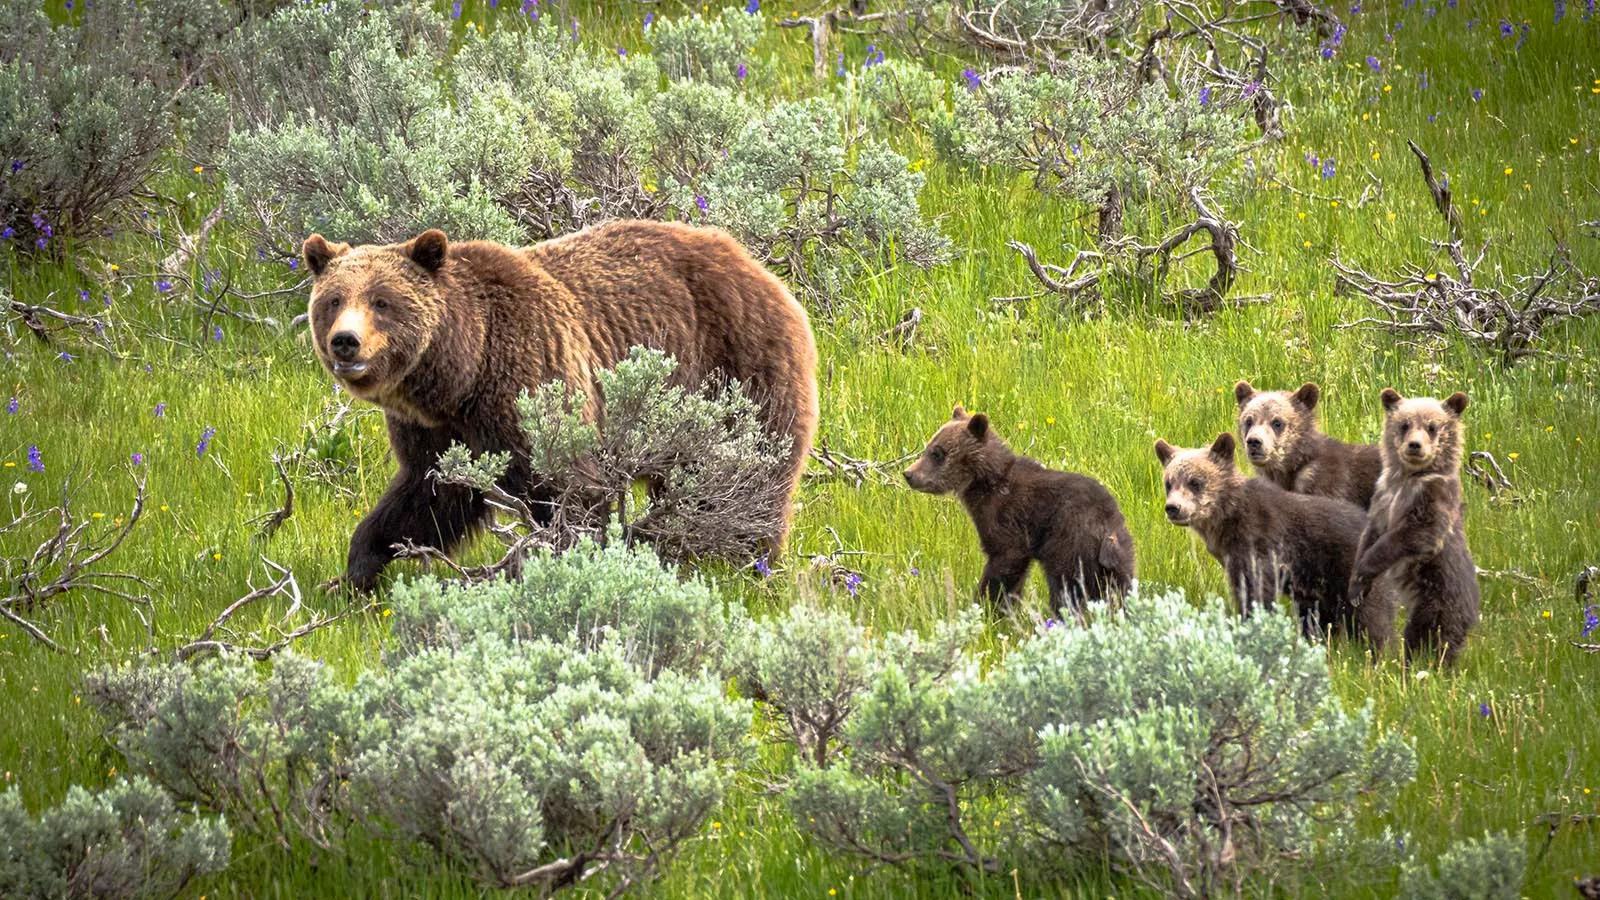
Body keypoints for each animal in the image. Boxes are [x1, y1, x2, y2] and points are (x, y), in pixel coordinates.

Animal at [301, 219, 819, 592]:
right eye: (333, 300)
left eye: (382, 301)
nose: (345, 341)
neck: (463, 372)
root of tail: (763, 270)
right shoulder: (437, 430)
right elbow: (428, 496)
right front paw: (353, 573)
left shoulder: (532, 378)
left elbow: (573, 488)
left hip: (736, 369)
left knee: (747, 475)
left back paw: (742, 557)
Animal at [903, 406, 1135, 615]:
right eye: (928, 447)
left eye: (937, 453)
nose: (909, 474)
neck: (986, 483)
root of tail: (1106, 529)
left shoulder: (1007, 517)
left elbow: (1005, 559)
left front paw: (987, 605)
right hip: (1122, 554)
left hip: (1070, 542)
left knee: (1066, 588)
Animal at [1154, 433, 1395, 649]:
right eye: (1169, 482)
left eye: (1195, 482)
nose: (1173, 508)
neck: (1227, 522)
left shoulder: (1259, 544)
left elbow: (1258, 593)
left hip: (1349, 571)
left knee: (1372, 619)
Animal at [1348, 389, 1479, 666]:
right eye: (1405, 424)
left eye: (1432, 427)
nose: (1415, 445)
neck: (1408, 479)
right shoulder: (1383, 497)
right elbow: (1369, 536)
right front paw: (1356, 587)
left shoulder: (1432, 499)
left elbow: (1414, 535)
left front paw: (1366, 568)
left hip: (1438, 598)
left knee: (1431, 637)